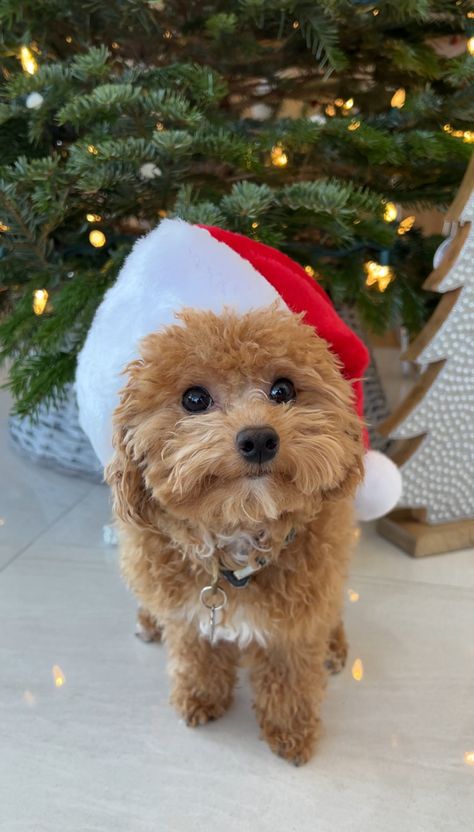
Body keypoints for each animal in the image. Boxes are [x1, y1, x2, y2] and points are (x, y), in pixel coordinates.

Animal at [106, 306, 362, 768]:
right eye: (194, 399)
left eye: (283, 389)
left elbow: (292, 678)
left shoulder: (294, 625)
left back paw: (334, 646)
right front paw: (200, 697)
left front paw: (290, 731)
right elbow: (196, 656)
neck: (238, 542)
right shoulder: (189, 616)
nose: (259, 438)